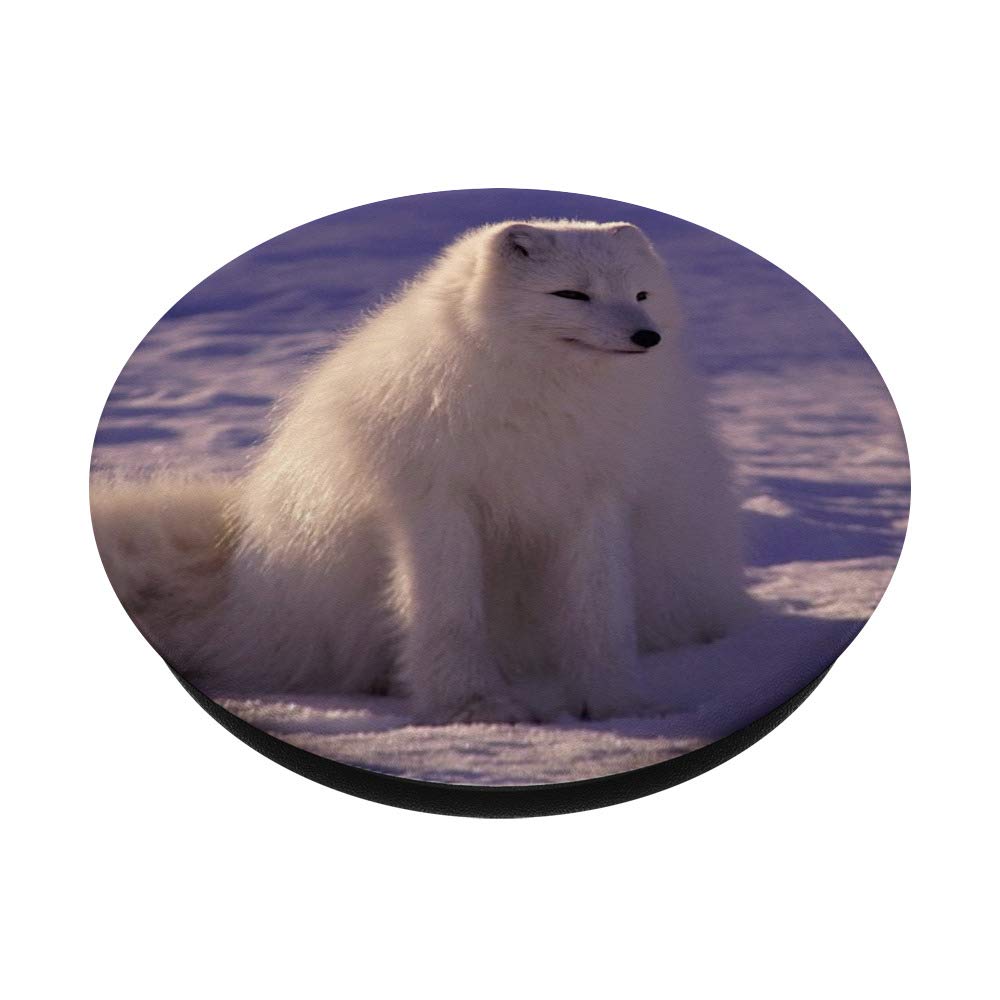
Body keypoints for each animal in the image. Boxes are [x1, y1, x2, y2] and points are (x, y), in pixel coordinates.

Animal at [92, 220, 751, 723]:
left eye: (640, 295)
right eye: (571, 295)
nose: (647, 336)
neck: (543, 403)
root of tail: (240, 600)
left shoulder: (595, 498)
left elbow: (599, 612)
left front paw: (616, 705)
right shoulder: (435, 499)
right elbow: (446, 611)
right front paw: (473, 709)